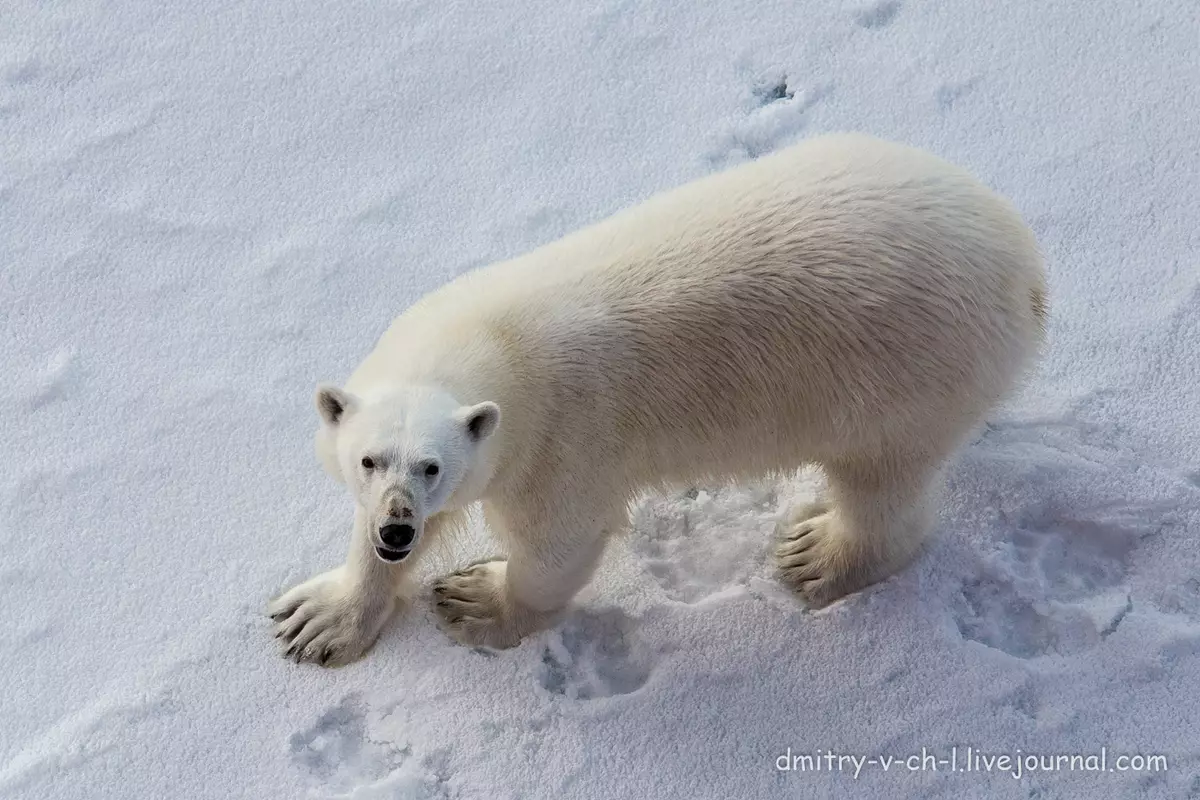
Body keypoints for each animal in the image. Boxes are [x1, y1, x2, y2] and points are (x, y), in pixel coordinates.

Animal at [267, 134, 1046, 666]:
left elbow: (556, 547)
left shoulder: (558, 443)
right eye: (368, 460)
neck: (494, 339)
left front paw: (474, 600)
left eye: (433, 466)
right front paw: (320, 619)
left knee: (882, 481)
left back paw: (817, 555)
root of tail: (1026, 266)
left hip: (902, 374)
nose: (397, 528)